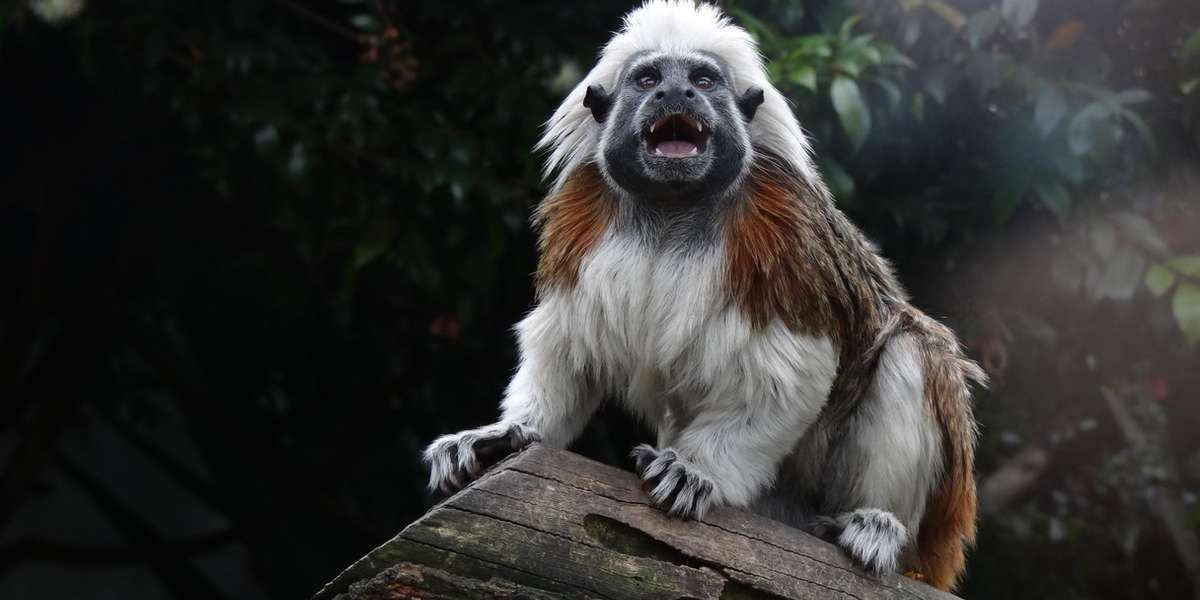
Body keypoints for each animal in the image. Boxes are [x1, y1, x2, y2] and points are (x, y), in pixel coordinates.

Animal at [422, 0, 985, 591]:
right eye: (649, 80)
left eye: (703, 80)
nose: (677, 94)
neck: (672, 208)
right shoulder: (583, 220)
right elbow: (569, 345)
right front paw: (508, 432)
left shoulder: (784, 228)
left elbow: (790, 372)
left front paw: (694, 471)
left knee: (911, 348)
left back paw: (878, 525)